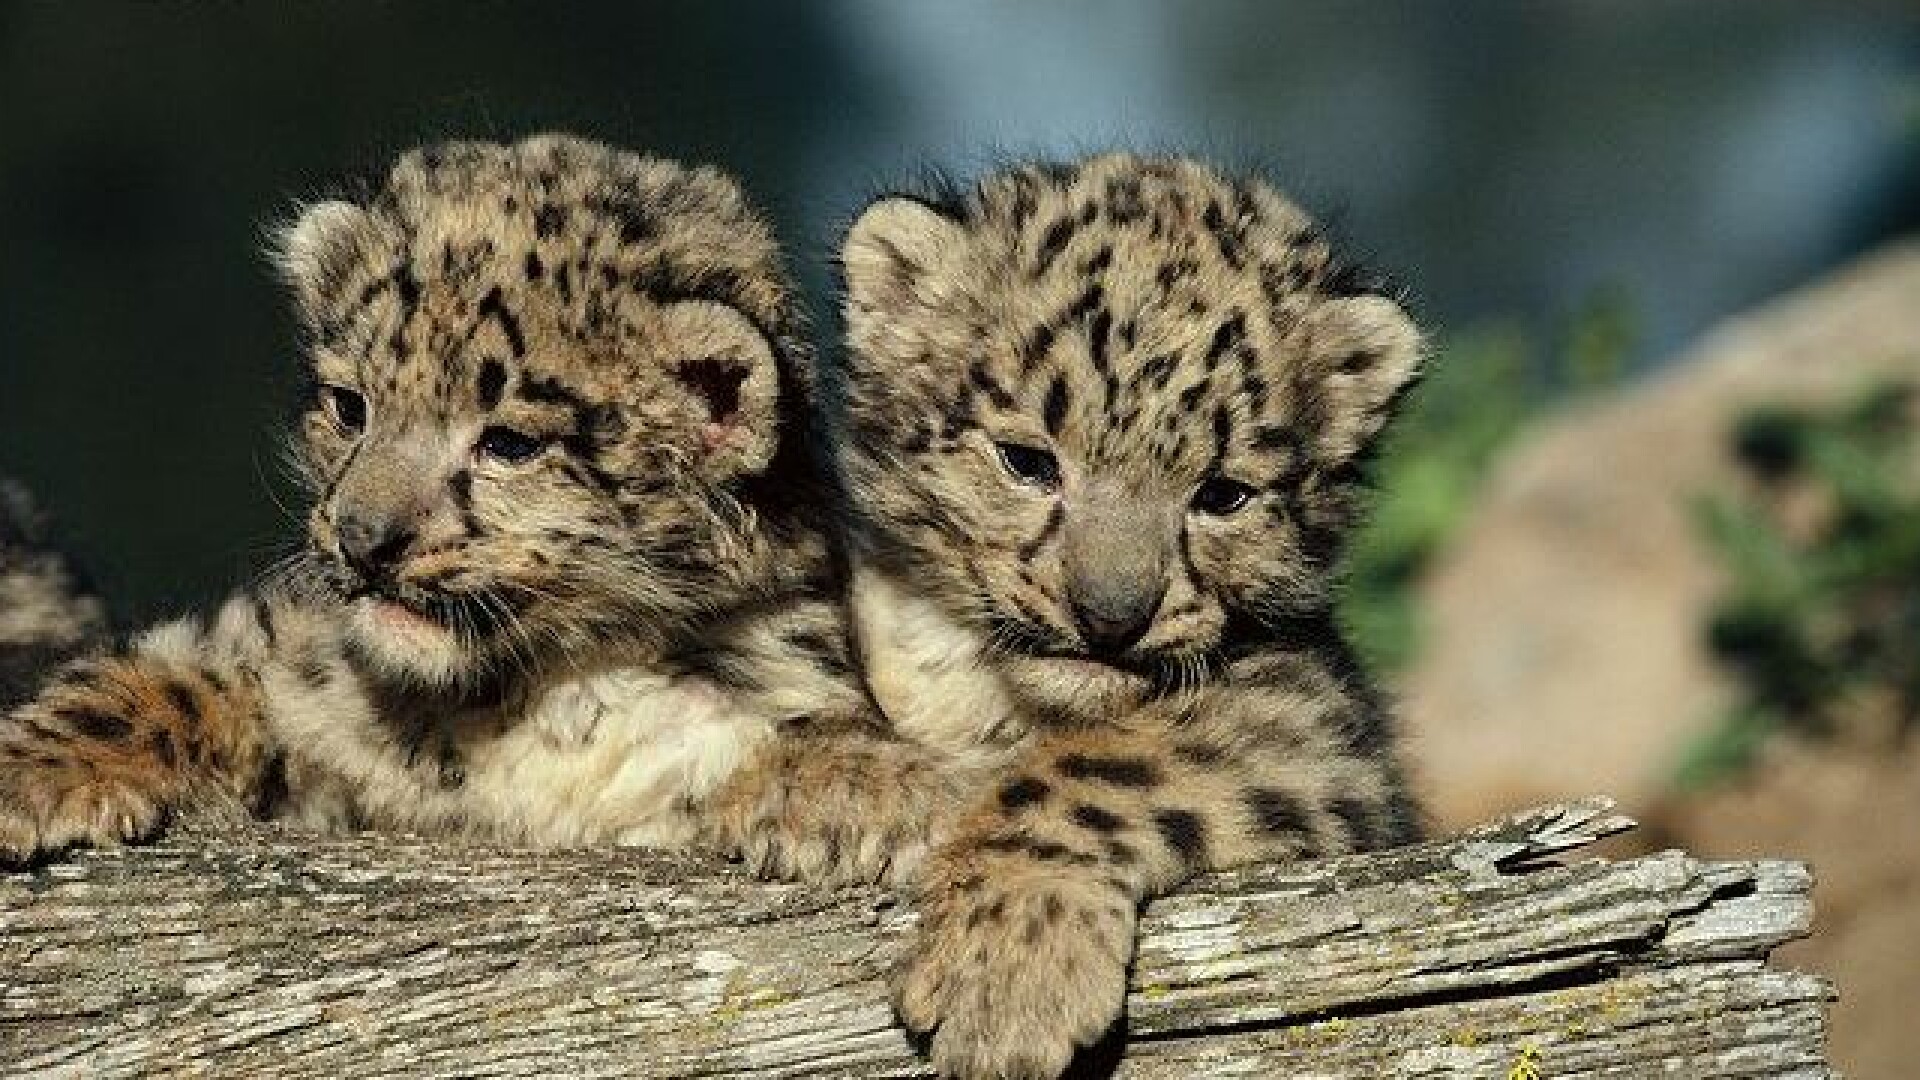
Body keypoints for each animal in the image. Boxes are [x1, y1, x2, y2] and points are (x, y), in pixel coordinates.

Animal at [0, 133, 963, 886]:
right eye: (350, 405)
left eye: (507, 443)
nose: (364, 541)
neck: (512, 708)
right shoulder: (273, 650)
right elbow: (152, 680)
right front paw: (22, 774)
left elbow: (797, 730)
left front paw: (863, 795)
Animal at [833, 152, 1426, 1078]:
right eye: (1026, 460)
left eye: (1222, 494)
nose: (1110, 615)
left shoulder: (1314, 726)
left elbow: (1102, 767)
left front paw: (1007, 979)